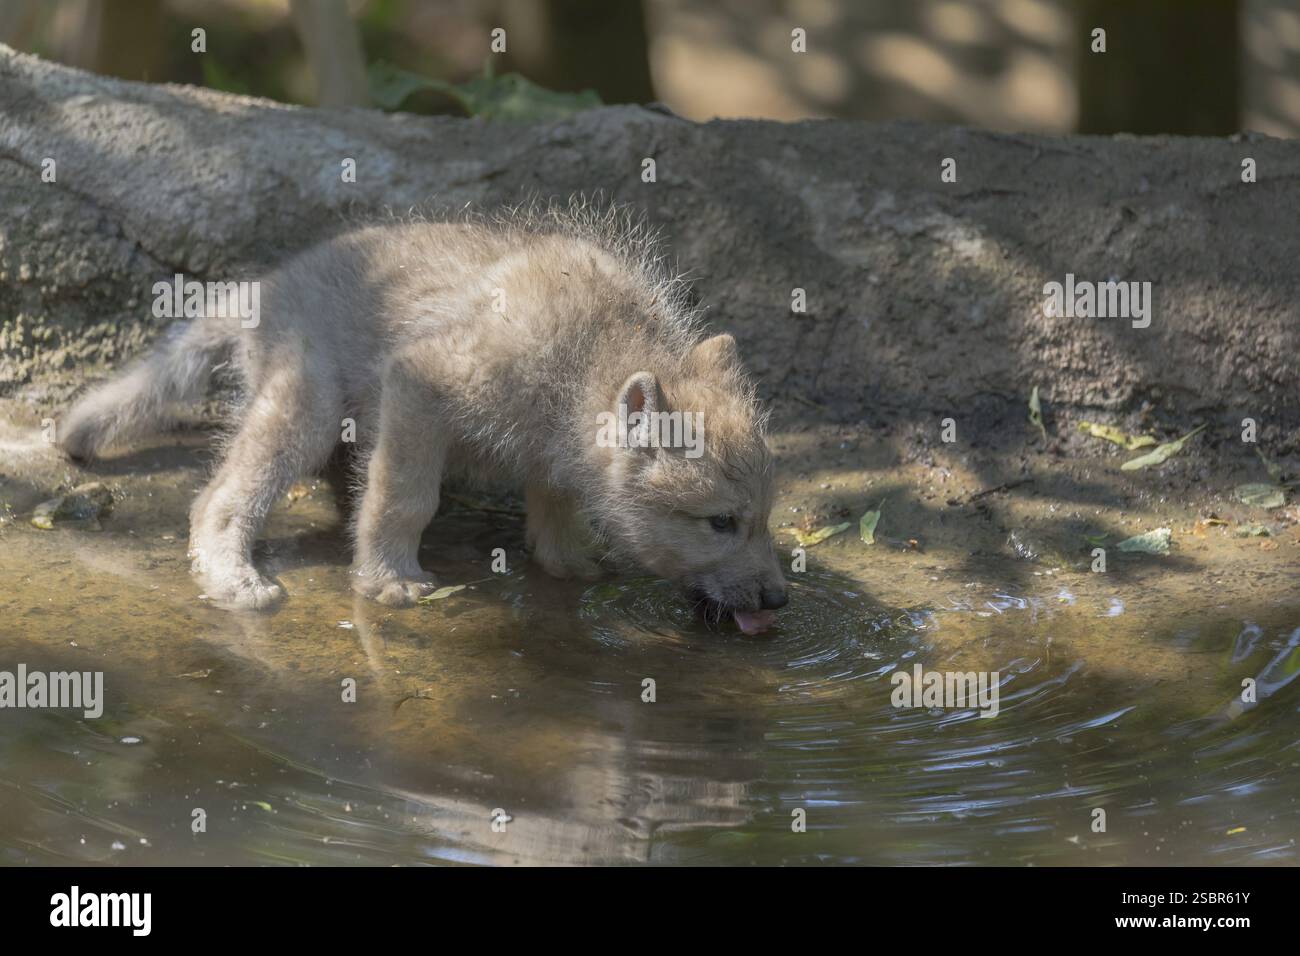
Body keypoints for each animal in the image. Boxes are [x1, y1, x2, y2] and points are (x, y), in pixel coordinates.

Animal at [57, 205, 787, 634]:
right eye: (721, 523)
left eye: (765, 519)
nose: (780, 600)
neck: (583, 355)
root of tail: (263, 287)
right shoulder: (418, 383)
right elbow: (403, 499)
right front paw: (388, 580)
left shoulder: (552, 451)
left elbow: (552, 513)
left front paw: (568, 563)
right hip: (306, 408)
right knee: (217, 500)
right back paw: (237, 581)